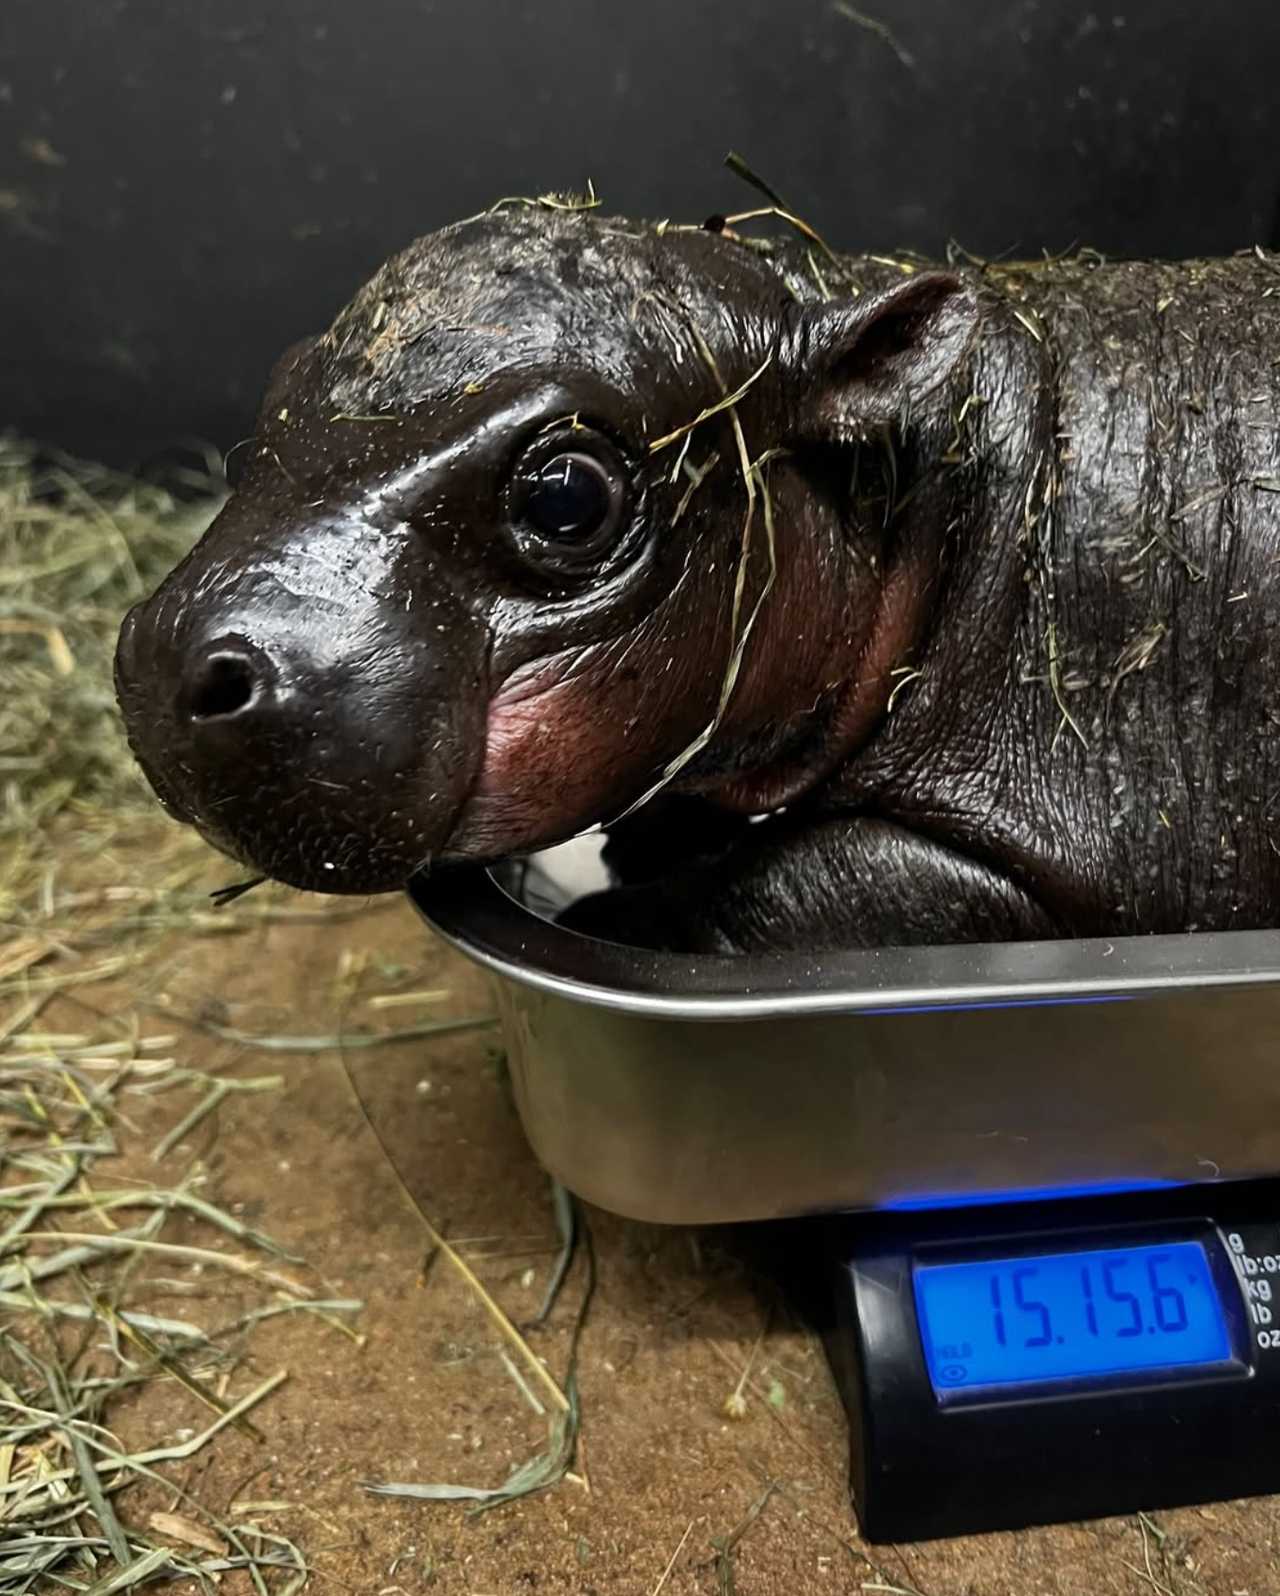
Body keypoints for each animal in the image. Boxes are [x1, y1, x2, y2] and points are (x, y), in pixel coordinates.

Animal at [113, 202, 1280, 954]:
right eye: (284, 381)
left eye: (566, 496)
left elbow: (800, 884)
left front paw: (604, 912)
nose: (167, 655)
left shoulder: (1052, 848)